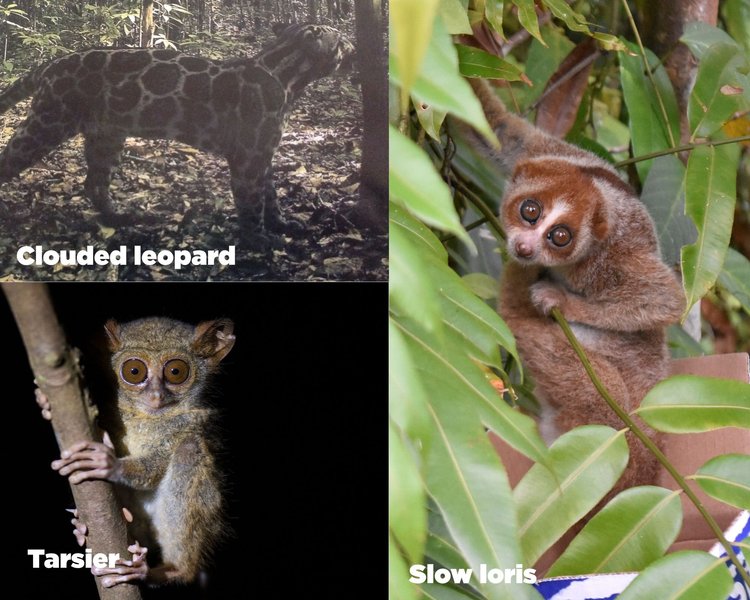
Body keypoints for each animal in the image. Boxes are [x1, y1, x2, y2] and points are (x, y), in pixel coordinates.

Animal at [38, 317, 235, 587]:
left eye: (176, 372)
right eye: (134, 372)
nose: (156, 396)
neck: (146, 416)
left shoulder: (190, 424)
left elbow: (156, 467)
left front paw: (108, 464)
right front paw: (46, 403)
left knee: (189, 450)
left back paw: (162, 571)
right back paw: (88, 525)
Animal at [459, 78, 685, 495]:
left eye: (560, 237)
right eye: (529, 211)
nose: (525, 248)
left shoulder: (603, 263)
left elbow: (665, 300)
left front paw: (556, 300)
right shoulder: (546, 152)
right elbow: (499, 129)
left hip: (613, 431)